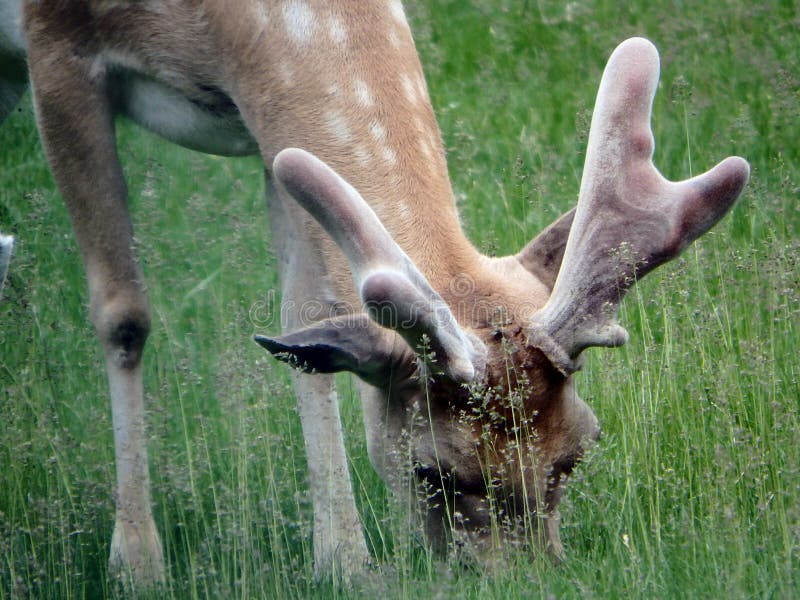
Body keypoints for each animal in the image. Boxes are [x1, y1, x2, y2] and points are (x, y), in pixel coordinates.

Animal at [0, 0, 748, 588]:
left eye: (579, 448)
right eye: (433, 473)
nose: (530, 579)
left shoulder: (270, 129)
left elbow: (306, 320)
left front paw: (342, 562)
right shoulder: (53, 47)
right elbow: (123, 314)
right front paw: (135, 562)